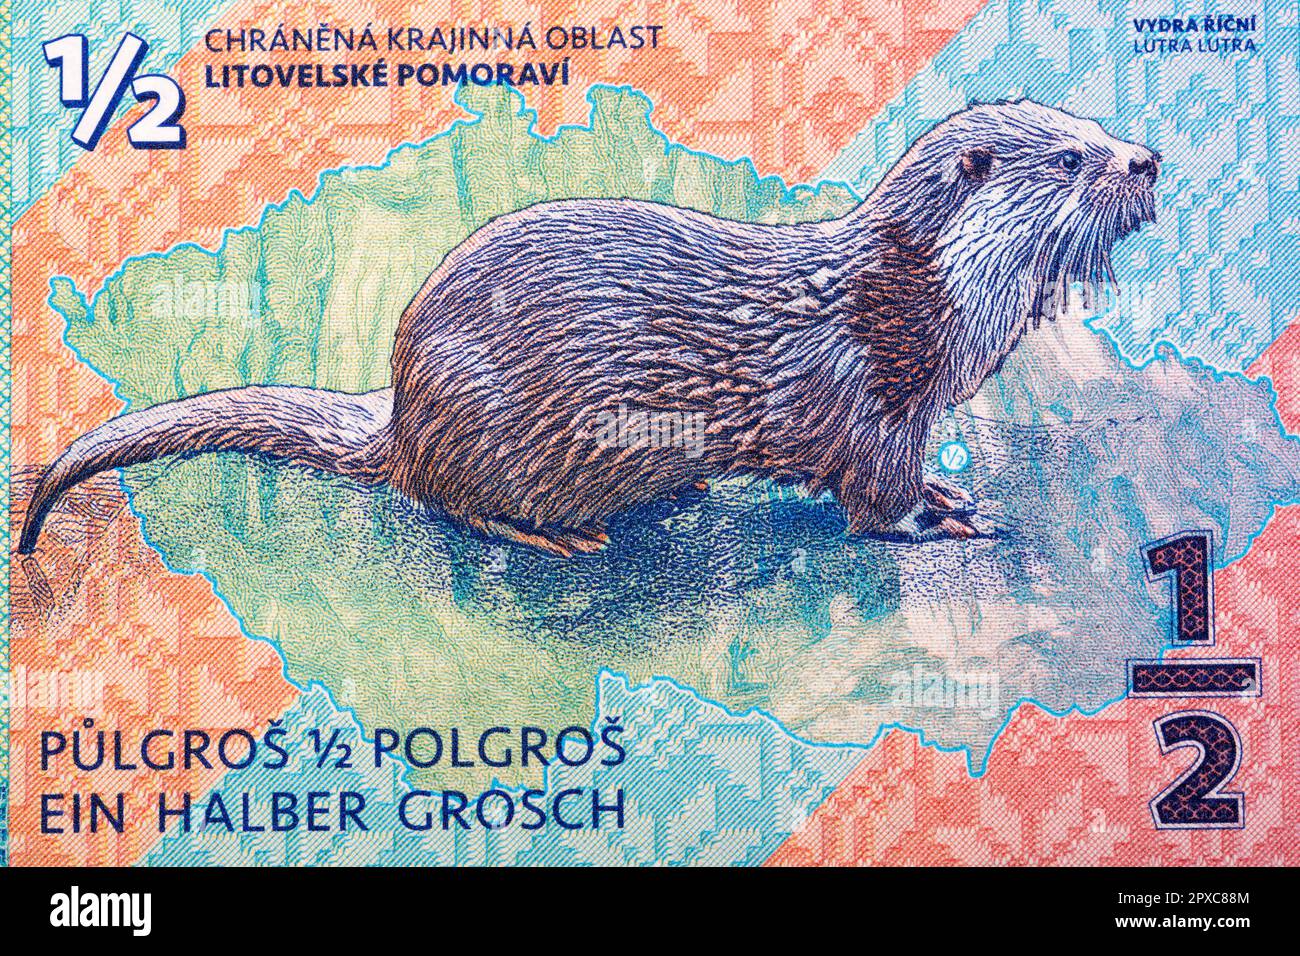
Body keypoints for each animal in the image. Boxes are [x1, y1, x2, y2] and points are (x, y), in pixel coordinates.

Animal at [18, 99, 1159, 558]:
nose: (1146, 158)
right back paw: (556, 530)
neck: (917, 306)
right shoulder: (865, 396)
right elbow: (871, 501)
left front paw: (950, 490)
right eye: (1071, 157)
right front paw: (937, 517)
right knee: (446, 504)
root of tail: (401, 405)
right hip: (482, 422)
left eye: (1094, 128)